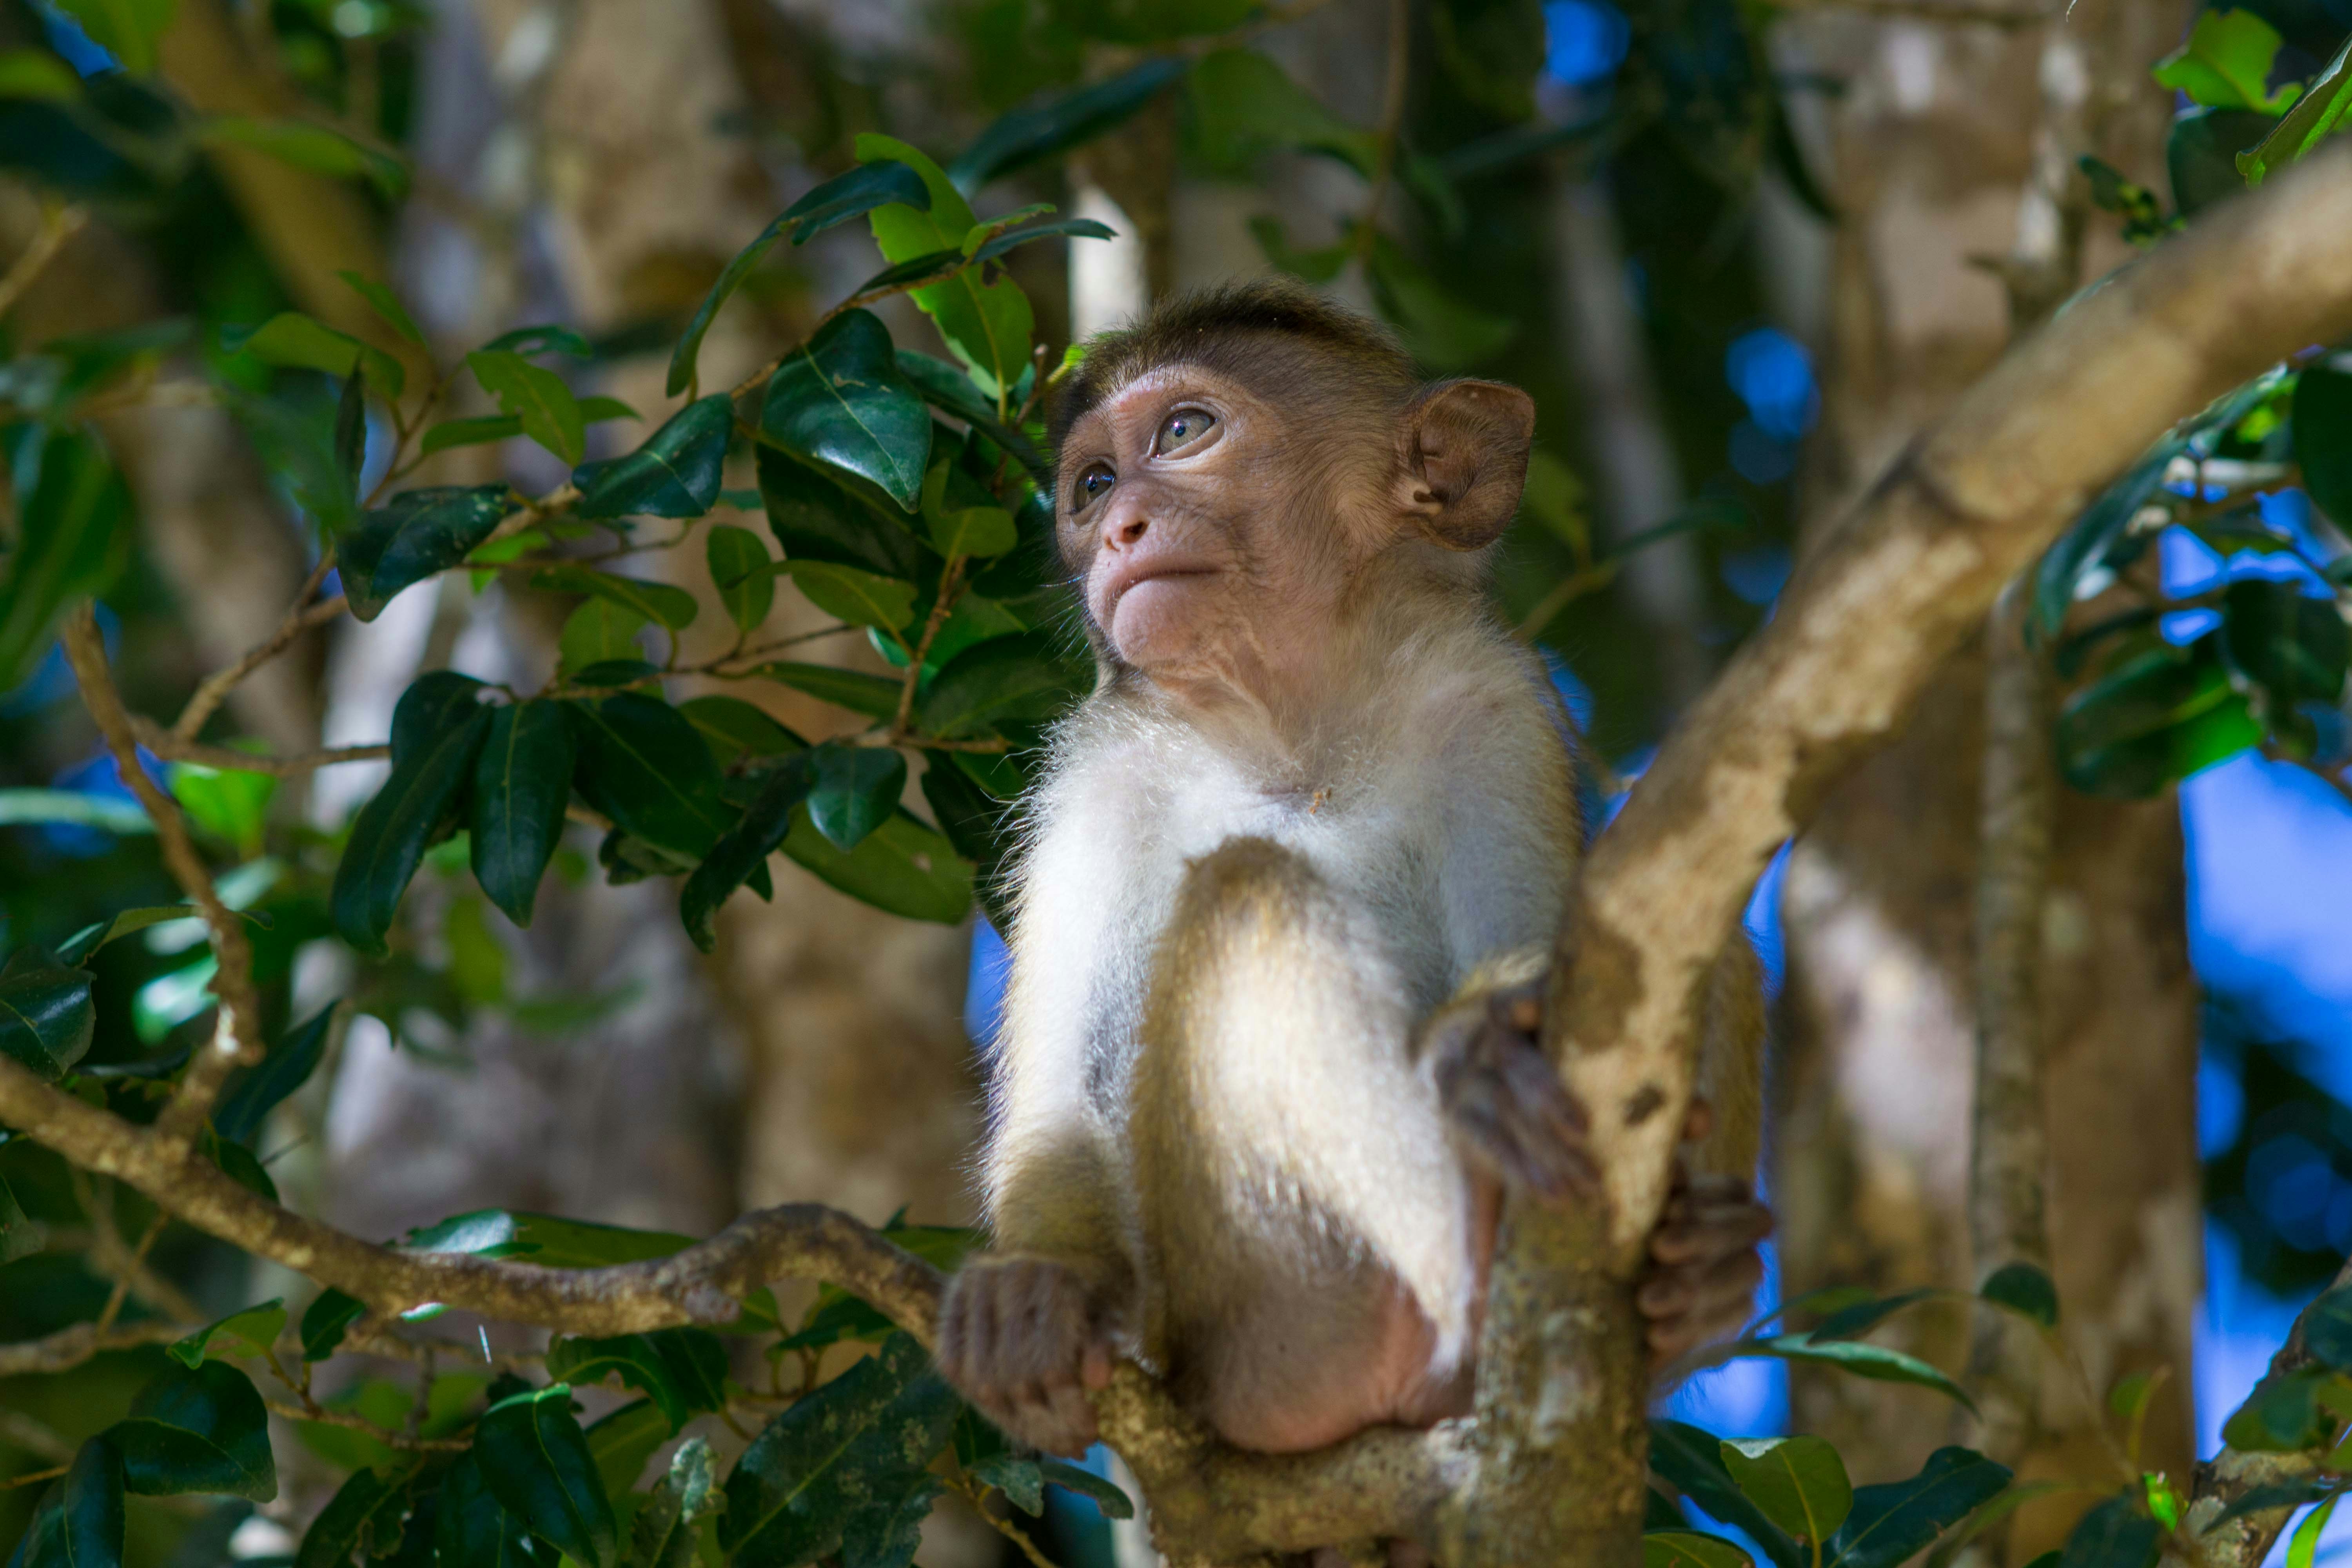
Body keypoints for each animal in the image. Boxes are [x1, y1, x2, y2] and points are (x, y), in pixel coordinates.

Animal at [936, 280, 1772, 1466]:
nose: (1119, 529)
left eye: (1184, 433)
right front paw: (1035, 1291)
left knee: (1715, 943)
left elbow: (1557, 948)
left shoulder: (1488, 698)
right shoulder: (1093, 780)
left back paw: (1691, 1281)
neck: (1294, 729)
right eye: (1091, 486)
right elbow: (1062, 1097)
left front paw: (1494, 1039)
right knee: (1248, 892)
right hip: (1254, 1318)